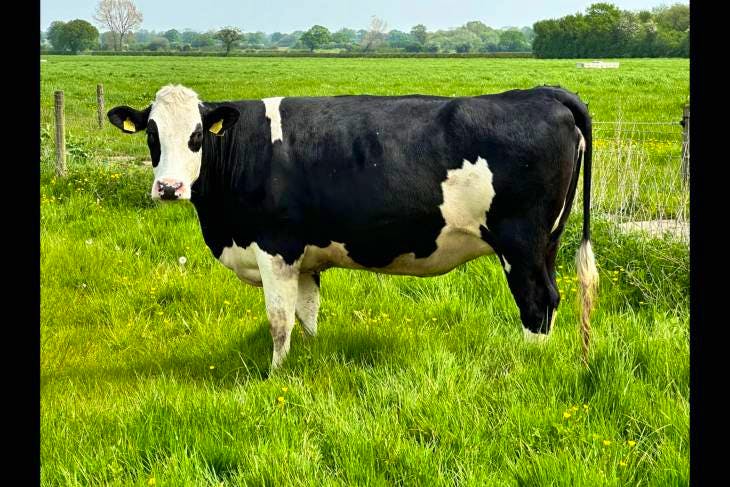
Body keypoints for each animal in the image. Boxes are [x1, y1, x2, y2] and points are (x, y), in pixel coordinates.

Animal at [108, 84, 599, 370]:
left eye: (197, 136)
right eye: (151, 134)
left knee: (537, 301)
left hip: (521, 244)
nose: (169, 188)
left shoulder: (276, 248)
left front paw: (273, 375)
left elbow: (279, 320)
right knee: (552, 299)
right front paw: (307, 361)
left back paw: (528, 362)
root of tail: (544, 92)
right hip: (548, 241)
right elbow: (307, 315)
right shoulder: (305, 257)